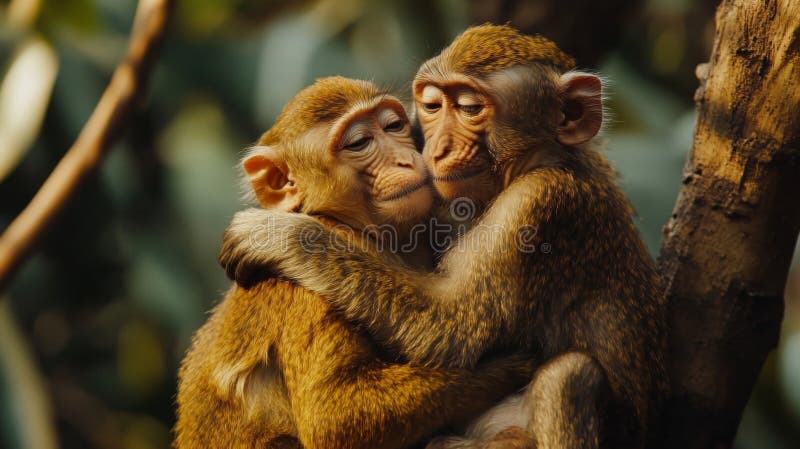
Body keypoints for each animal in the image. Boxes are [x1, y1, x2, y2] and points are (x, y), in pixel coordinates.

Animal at [173, 76, 538, 449]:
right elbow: (334, 418)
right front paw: (505, 363)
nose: (405, 160)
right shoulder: (303, 294)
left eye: (393, 126)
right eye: (359, 142)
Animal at [219, 25, 669, 449]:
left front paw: (283, 235)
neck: (543, 161)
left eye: (470, 108)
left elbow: (448, 327)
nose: (436, 149)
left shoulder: (539, 206)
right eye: (433, 106)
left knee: (568, 377)